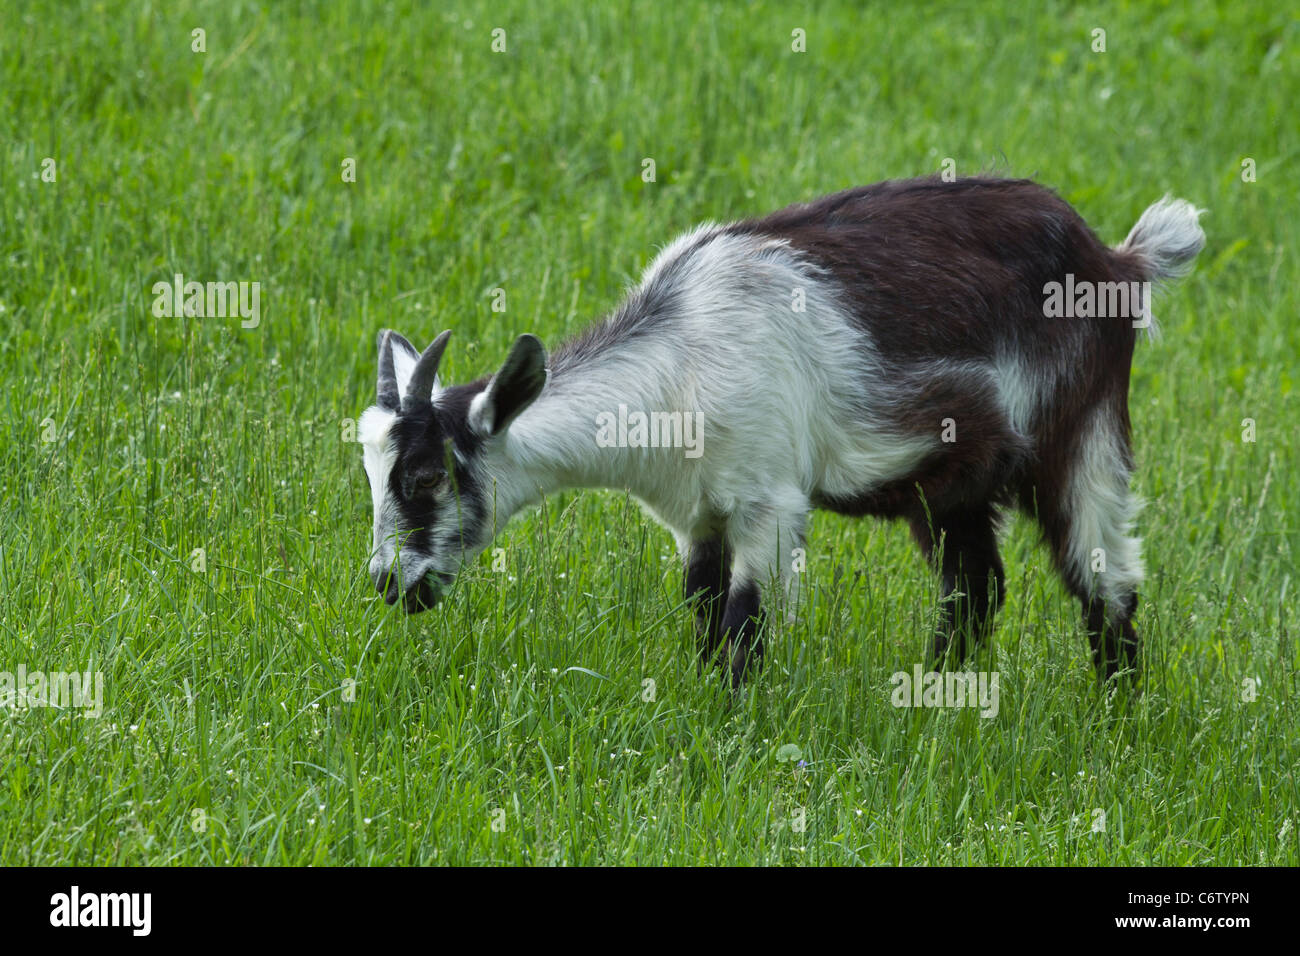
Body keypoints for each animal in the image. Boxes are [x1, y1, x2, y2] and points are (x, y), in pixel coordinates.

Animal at [358, 175, 1205, 689]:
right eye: (369, 474)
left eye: (426, 476)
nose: (389, 585)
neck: (680, 360)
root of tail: (1119, 261)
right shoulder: (698, 513)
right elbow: (703, 610)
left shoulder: (769, 500)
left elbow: (742, 622)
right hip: (955, 482)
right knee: (974, 588)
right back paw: (937, 697)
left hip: (1083, 434)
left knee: (1106, 580)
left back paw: (1115, 722)